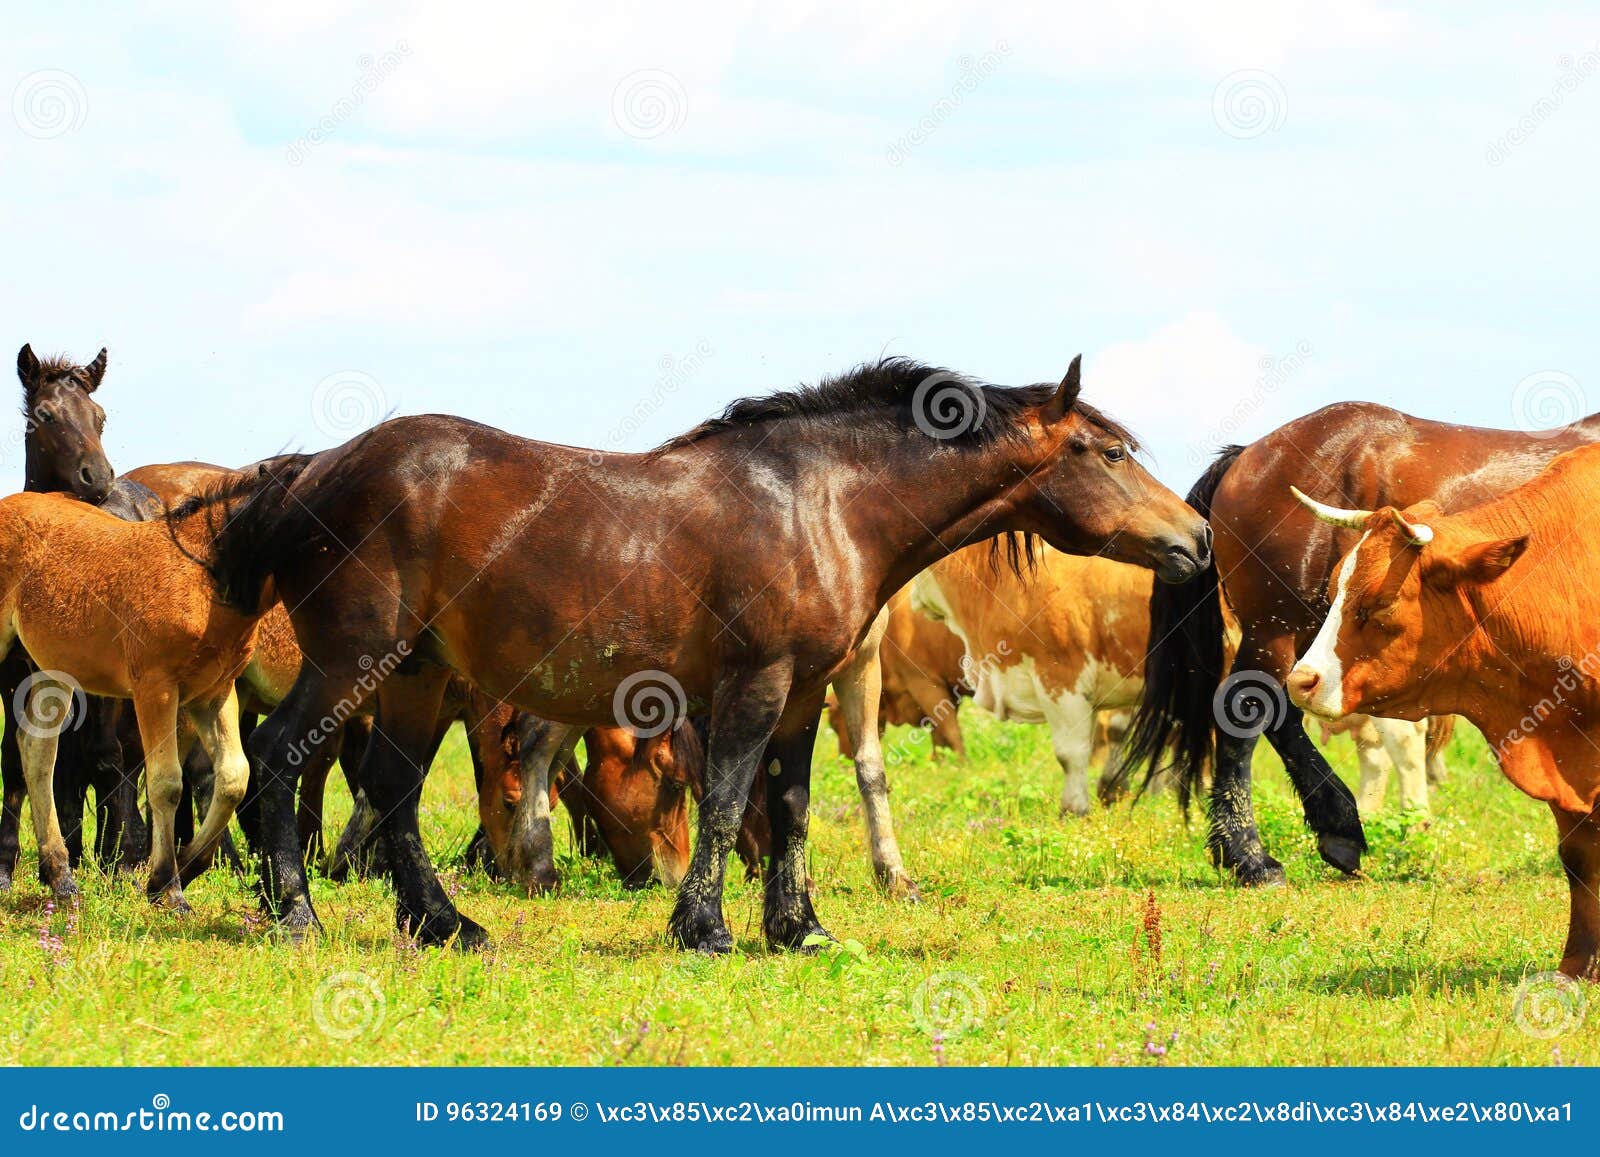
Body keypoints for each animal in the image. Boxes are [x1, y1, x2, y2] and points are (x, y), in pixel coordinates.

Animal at [195, 355, 1210, 952]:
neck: (822, 500)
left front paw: (799, 929)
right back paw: (295, 914)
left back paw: (446, 924)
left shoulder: (803, 696)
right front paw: (705, 927)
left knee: (393, 793)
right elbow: (726, 801)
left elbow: (790, 809)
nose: (1197, 536)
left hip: (415, 677)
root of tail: (318, 467)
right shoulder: (754, 684)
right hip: (351, 666)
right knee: (283, 758)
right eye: (1109, 452)